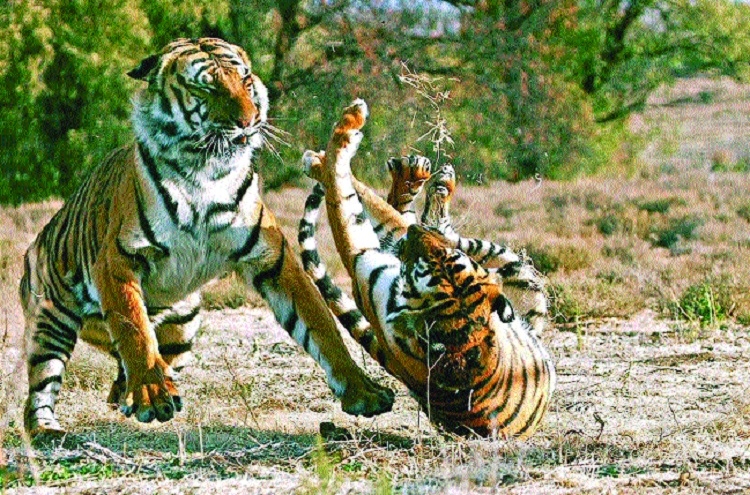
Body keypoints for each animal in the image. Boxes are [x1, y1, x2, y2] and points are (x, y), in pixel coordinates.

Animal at [19, 38, 394, 439]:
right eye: (207, 88)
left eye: (245, 81)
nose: (248, 121)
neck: (207, 172)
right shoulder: (119, 259)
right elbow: (133, 327)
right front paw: (150, 395)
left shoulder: (273, 258)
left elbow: (321, 325)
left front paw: (363, 391)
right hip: (51, 321)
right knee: (41, 385)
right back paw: (47, 429)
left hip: (183, 327)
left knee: (133, 371)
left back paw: (128, 393)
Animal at [296, 99, 555, 438]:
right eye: (445, 256)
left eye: (424, 264)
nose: (416, 236)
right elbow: (360, 198)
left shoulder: (364, 262)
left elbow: (344, 195)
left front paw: (339, 137)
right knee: (406, 213)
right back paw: (418, 177)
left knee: (404, 217)